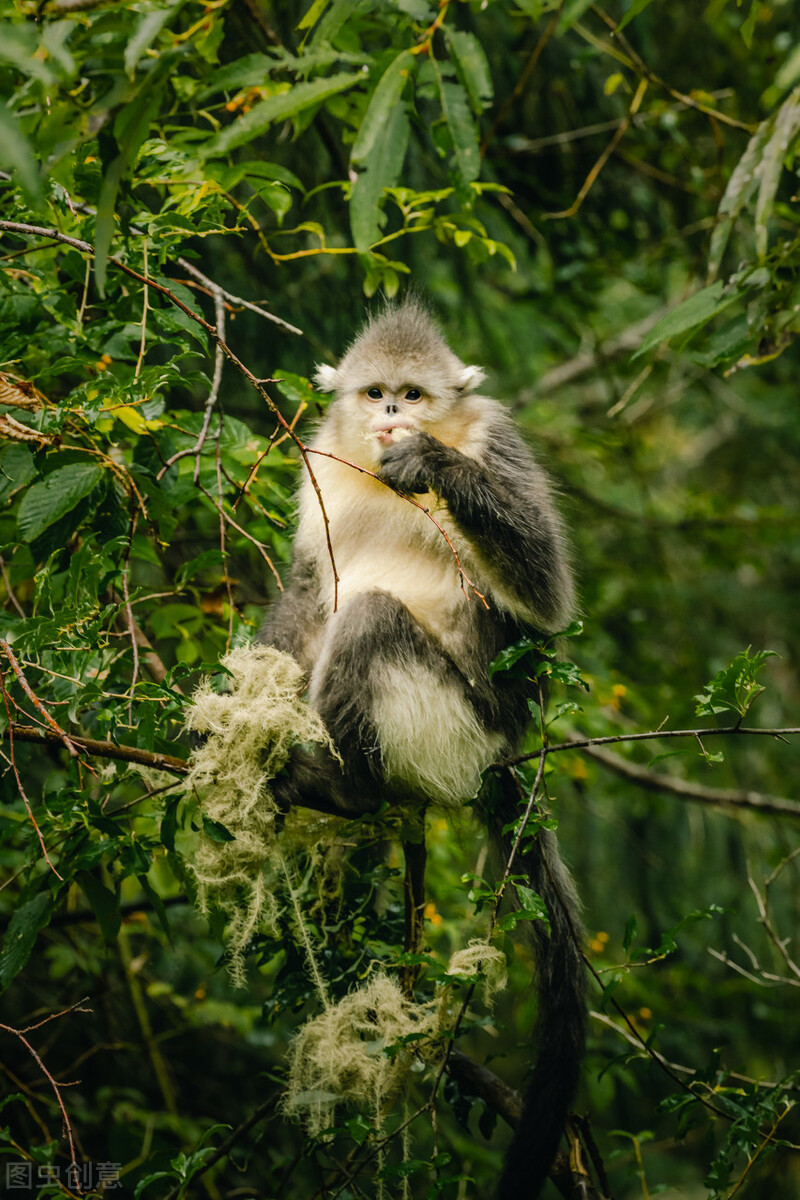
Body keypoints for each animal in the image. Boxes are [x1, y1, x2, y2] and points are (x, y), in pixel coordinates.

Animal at [261, 298, 585, 1199]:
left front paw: (430, 462)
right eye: (374, 393)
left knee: (371, 616)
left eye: (413, 395)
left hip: (451, 725)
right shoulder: (319, 470)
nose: (391, 419)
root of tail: (502, 753)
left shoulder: (494, 435)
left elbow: (546, 597)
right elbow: (310, 592)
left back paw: (344, 790)